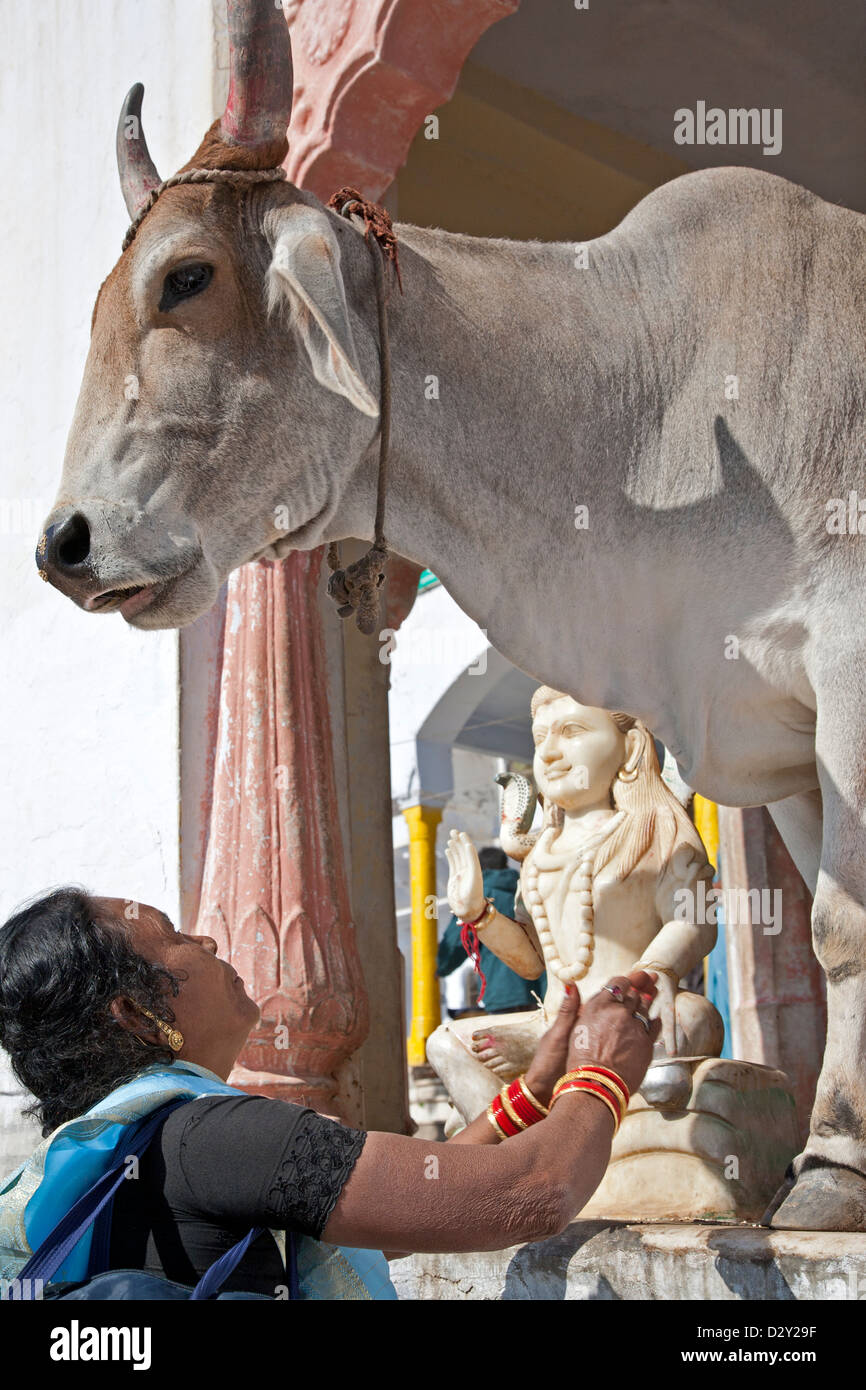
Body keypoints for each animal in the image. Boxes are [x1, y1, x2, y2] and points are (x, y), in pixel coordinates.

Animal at [37, 0, 866, 1230]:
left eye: (186, 277)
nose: (65, 545)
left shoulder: (842, 668)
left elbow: (837, 925)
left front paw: (830, 1171)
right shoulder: (781, 734)